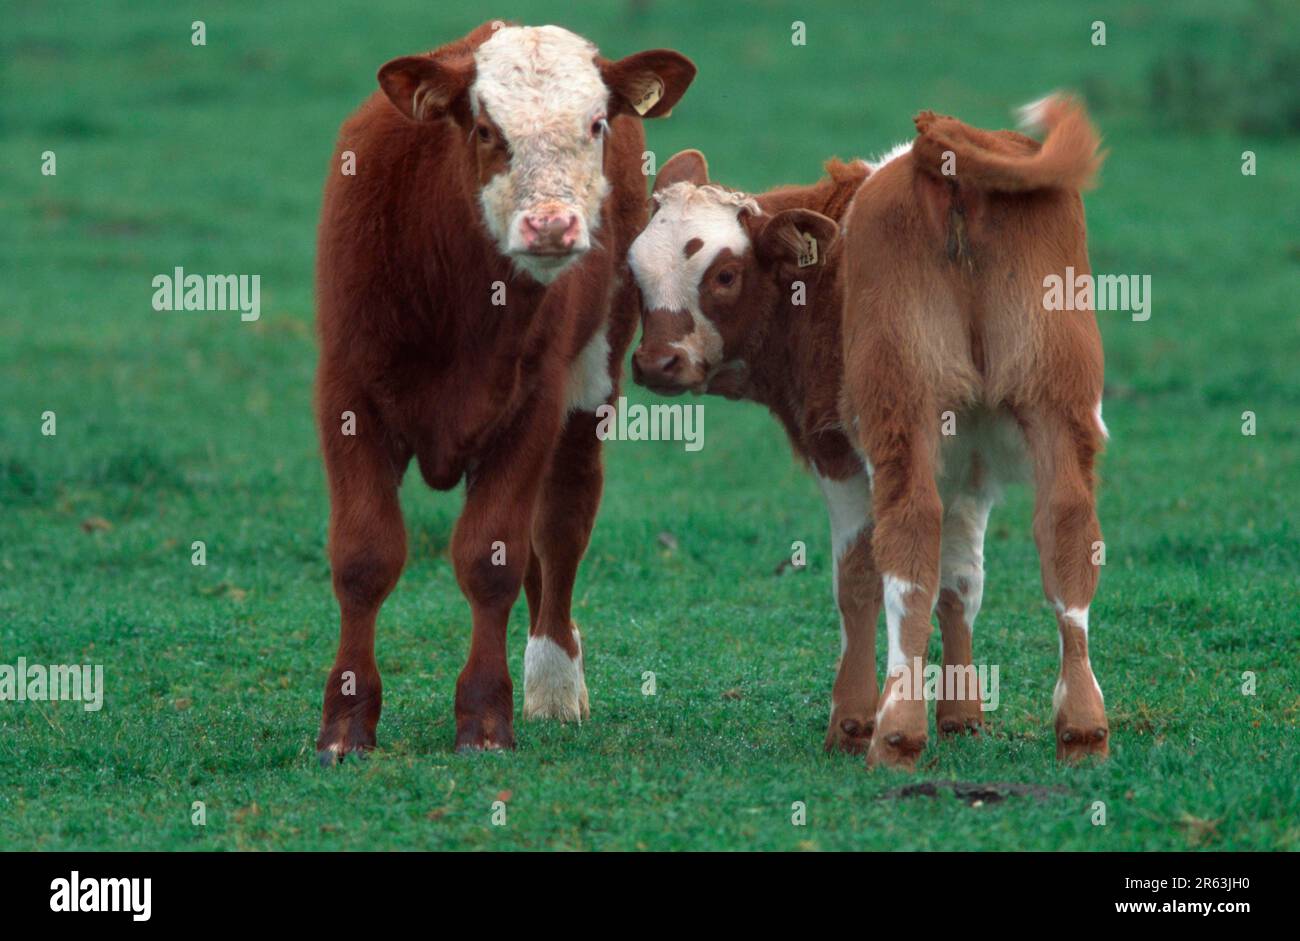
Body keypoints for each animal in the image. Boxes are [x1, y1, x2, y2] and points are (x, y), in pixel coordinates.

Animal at [313, 21, 695, 761]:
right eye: (488, 130)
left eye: (596, 123)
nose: (551, 226)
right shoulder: (346, 397)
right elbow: (364, 556)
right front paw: (345, 724)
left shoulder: (532, 406)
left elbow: (492, 557)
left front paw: (487, 718)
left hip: (591, 382)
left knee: (562, 522)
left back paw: (555, 677)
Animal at [627, 95, 1108, 768]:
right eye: (635, 272)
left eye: (723, 275)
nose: (656, 364)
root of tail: (942, 154)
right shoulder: (969, 460)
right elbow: (960, 581)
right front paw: (963, 717)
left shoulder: (835, 449)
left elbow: (857, 578)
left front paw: (851, 722)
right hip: (1057, 404)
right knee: (1067, 529)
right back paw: (1083, 727)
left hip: (899, 411)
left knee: (907, 538)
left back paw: (896, 730)